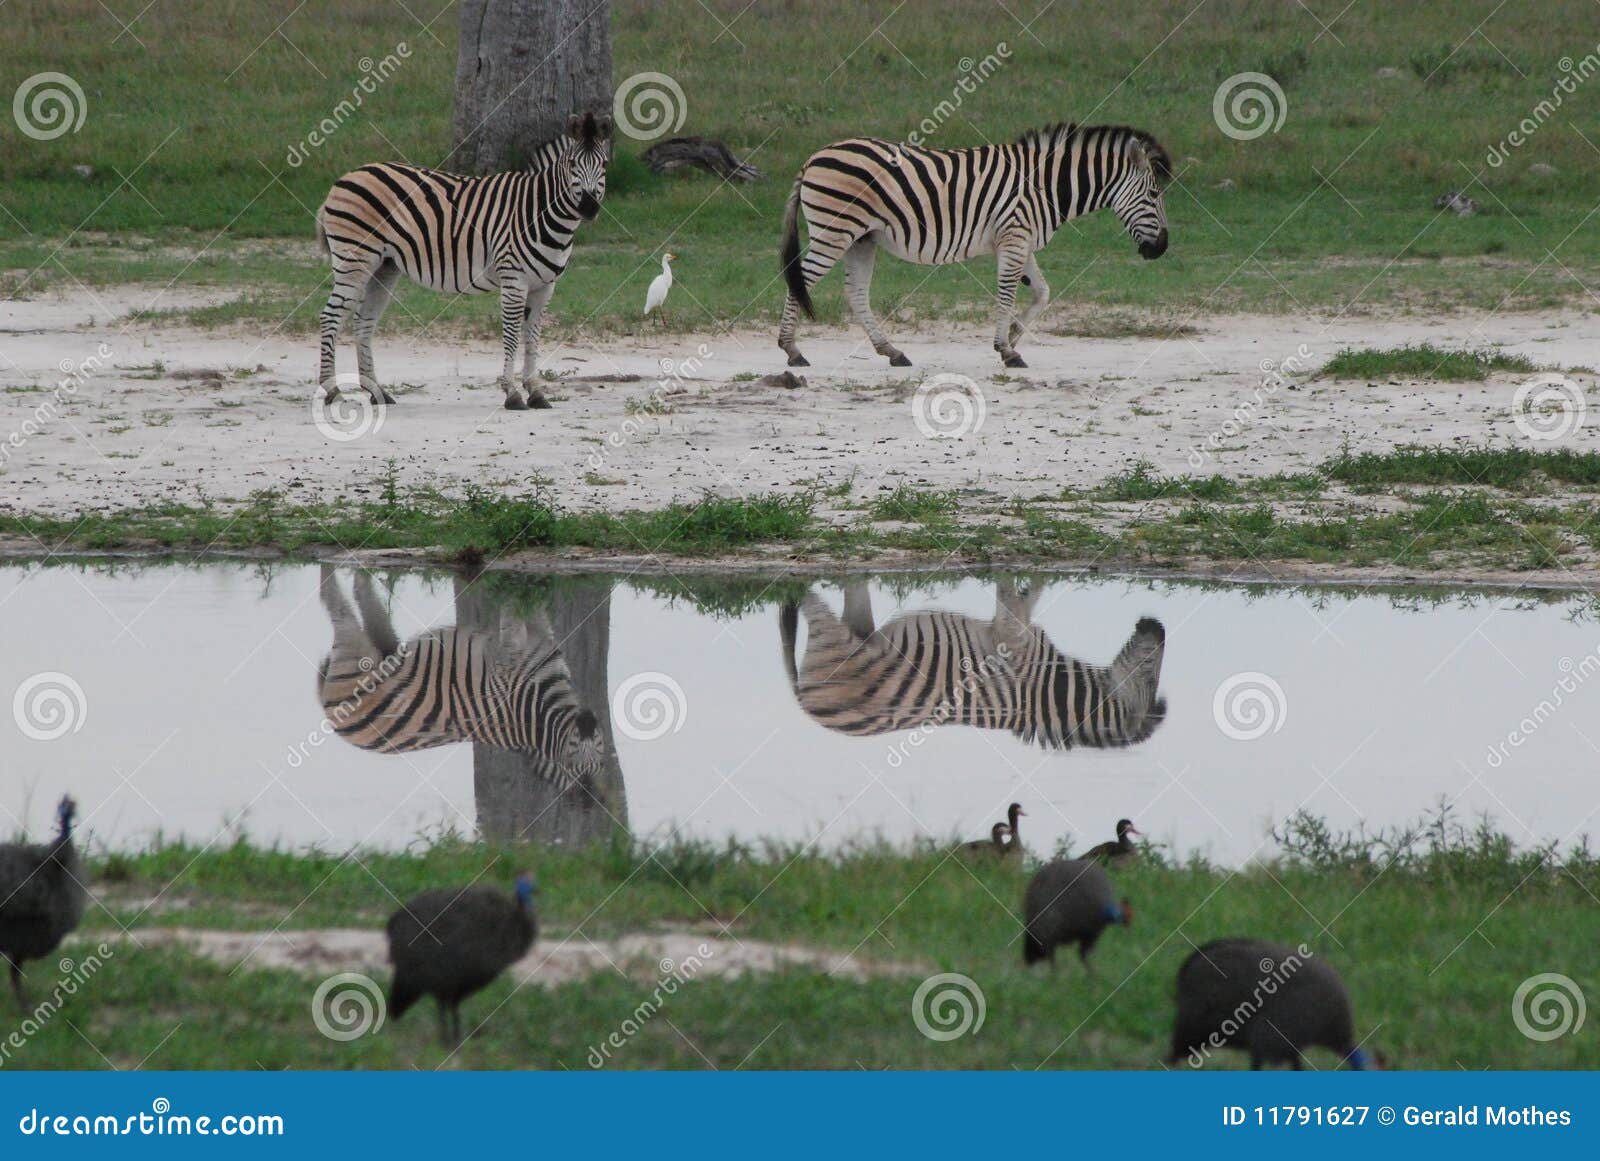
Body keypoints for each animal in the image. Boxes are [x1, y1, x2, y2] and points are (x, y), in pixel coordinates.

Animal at [315, 111, 612, 411]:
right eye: (573, 164)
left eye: (604, 164)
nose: (588, 207)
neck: (537, 211)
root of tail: (347, 176)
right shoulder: (514, 280)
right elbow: (512, 335)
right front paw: (512, 393)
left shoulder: (545, 286)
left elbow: (532, 338)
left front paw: (536, 392)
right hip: (355, 259)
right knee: (331, 316)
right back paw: (333, 391)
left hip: (384, 267)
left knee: (363, 322)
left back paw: (377, 392)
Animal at [317, 567, 604, 790]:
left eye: (596, 752)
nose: (589, 719)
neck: (533, 706)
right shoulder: (522, 650)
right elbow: (524, 610)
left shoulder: (514, 654)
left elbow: (519, 613)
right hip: (369, 649)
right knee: (345, 594)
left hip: (366, 648)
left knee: (344, 595)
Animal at [778, 122, 1171, 369]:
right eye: (1154, 195)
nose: (1162, 249)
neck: (1045, 186)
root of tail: (813, 157)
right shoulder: (1014, 237)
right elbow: (1008, 294)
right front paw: (1006, 350)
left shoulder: (1022, 240)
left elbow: (1042, 293)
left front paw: (1013, 336)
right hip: (835, 231)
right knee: (799, 280)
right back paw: (792, 350)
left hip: (860, 239)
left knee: (856, 293)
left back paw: (891, 351)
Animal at [778, 578, 1167, 750]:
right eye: (1151, 670)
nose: (1157, 626)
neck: (1043, 692)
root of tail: (804, 704)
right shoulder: (1010, 636)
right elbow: (1013, 594)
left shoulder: (1017, 631)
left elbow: (1029, 596)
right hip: (834, 639)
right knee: (806, 601)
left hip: (858, 633)